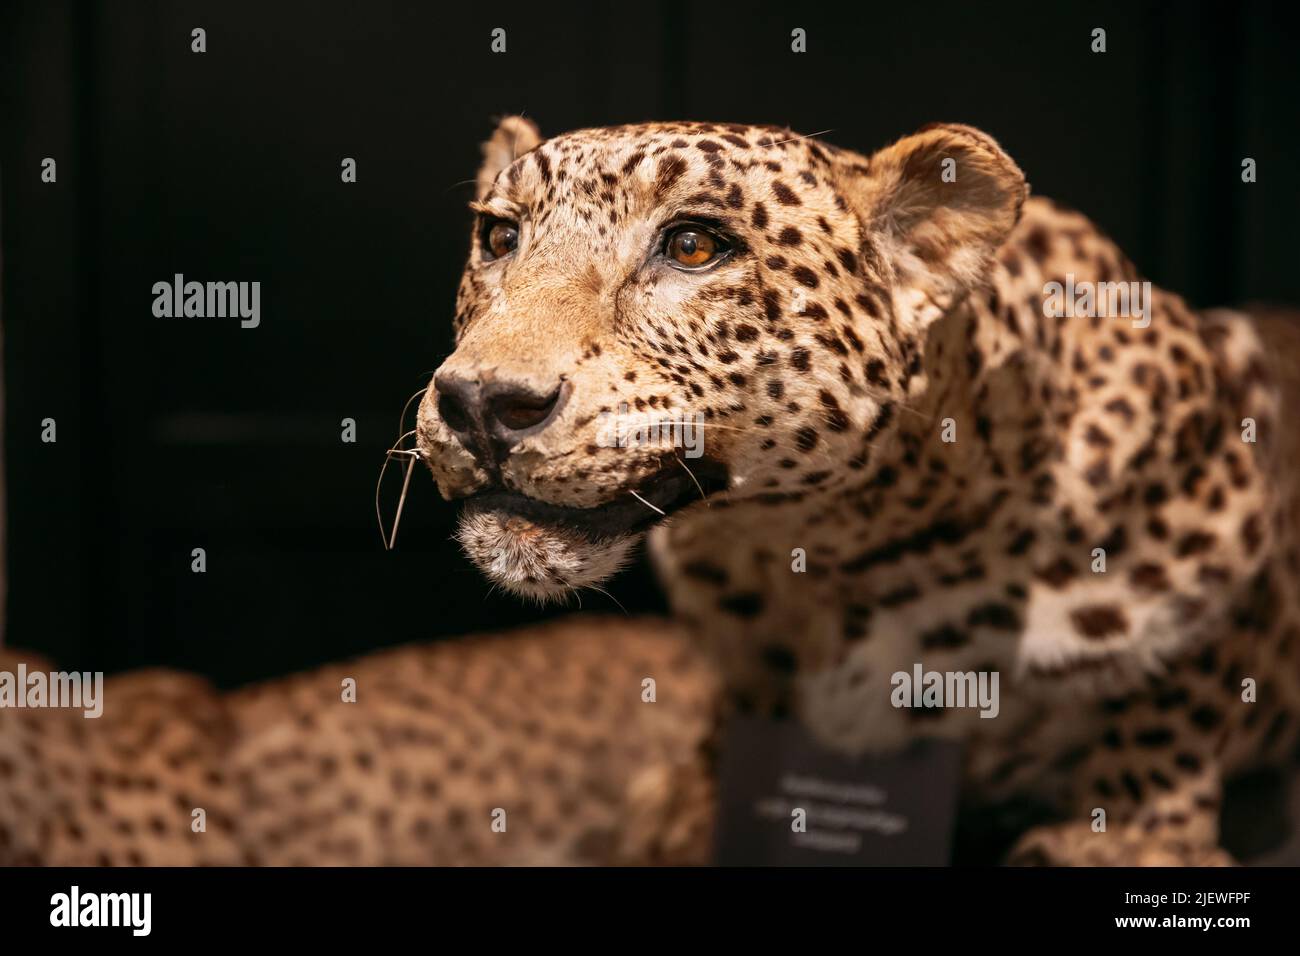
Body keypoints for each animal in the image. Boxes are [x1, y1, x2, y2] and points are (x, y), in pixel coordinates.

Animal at [415, 115, 1300, 865]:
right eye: (499, 237)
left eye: (693, 245)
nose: (482, 404)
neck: (837, 548)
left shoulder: (1233, 514)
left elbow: (1174, 708)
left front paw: (1130, 837)